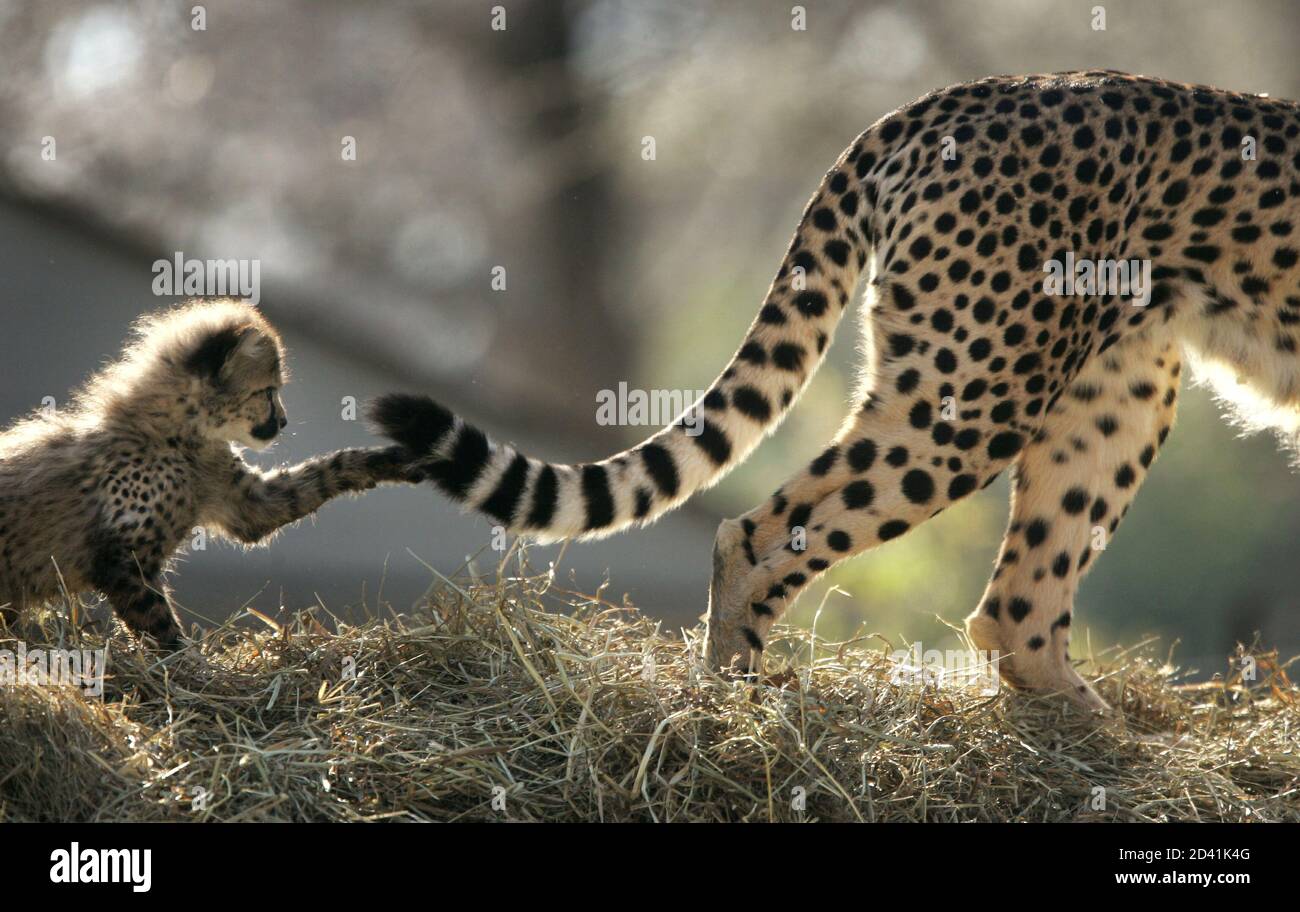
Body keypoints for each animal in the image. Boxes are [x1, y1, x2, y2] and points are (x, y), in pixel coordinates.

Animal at [0, 299, 416, 648]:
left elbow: (321, 475)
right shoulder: (122, 560)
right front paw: (189, 671)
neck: (183, 436)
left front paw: (394, 459)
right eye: (268, 392)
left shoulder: (247, 504)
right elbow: (159, 624)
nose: (283, 421)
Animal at [371, 70, 1300, 711]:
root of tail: (963, 93)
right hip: (968, 396)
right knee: (756, 534)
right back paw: (735, 703)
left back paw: (1100, 731)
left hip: (1117, 386)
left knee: (1011, 606)